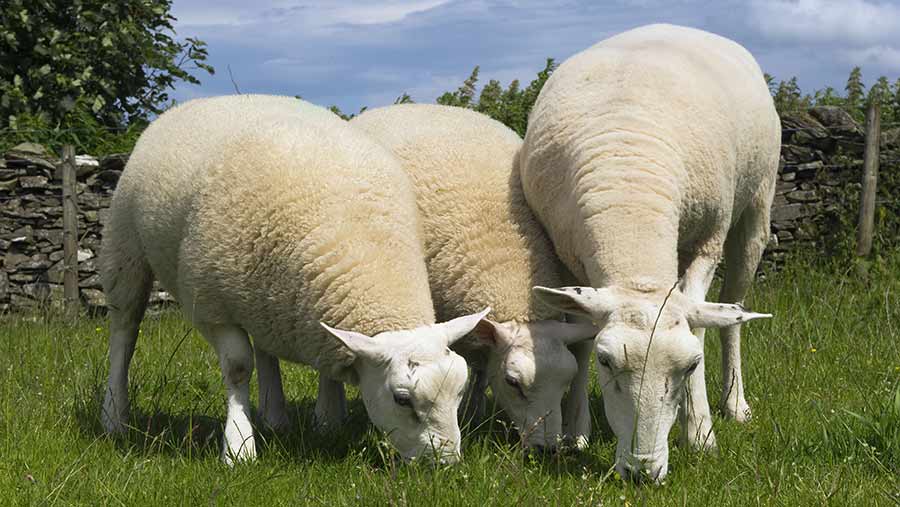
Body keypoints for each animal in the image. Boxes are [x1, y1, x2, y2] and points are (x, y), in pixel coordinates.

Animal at [99, 94, 489, 465]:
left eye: (459, 391)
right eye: (402, 399)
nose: (447, 464)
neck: (355, 241)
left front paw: (328, 421)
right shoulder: (209, 305)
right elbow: (238, 367)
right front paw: (238, 448)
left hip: (260, 293)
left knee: (264, 346)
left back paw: (275, 416)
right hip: (125, 246)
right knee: (125, 330)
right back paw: (114, 417)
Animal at [519, 24, 780, 482]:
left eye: (690, 366)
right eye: (606, 363)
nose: (644, 472)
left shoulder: (707, 242)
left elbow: (699, 326)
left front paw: (700, 433)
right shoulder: (568, 259)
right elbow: (581, 340)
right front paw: (577, 433)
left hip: (756, 204)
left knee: (733, 310)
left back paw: (734, 404)